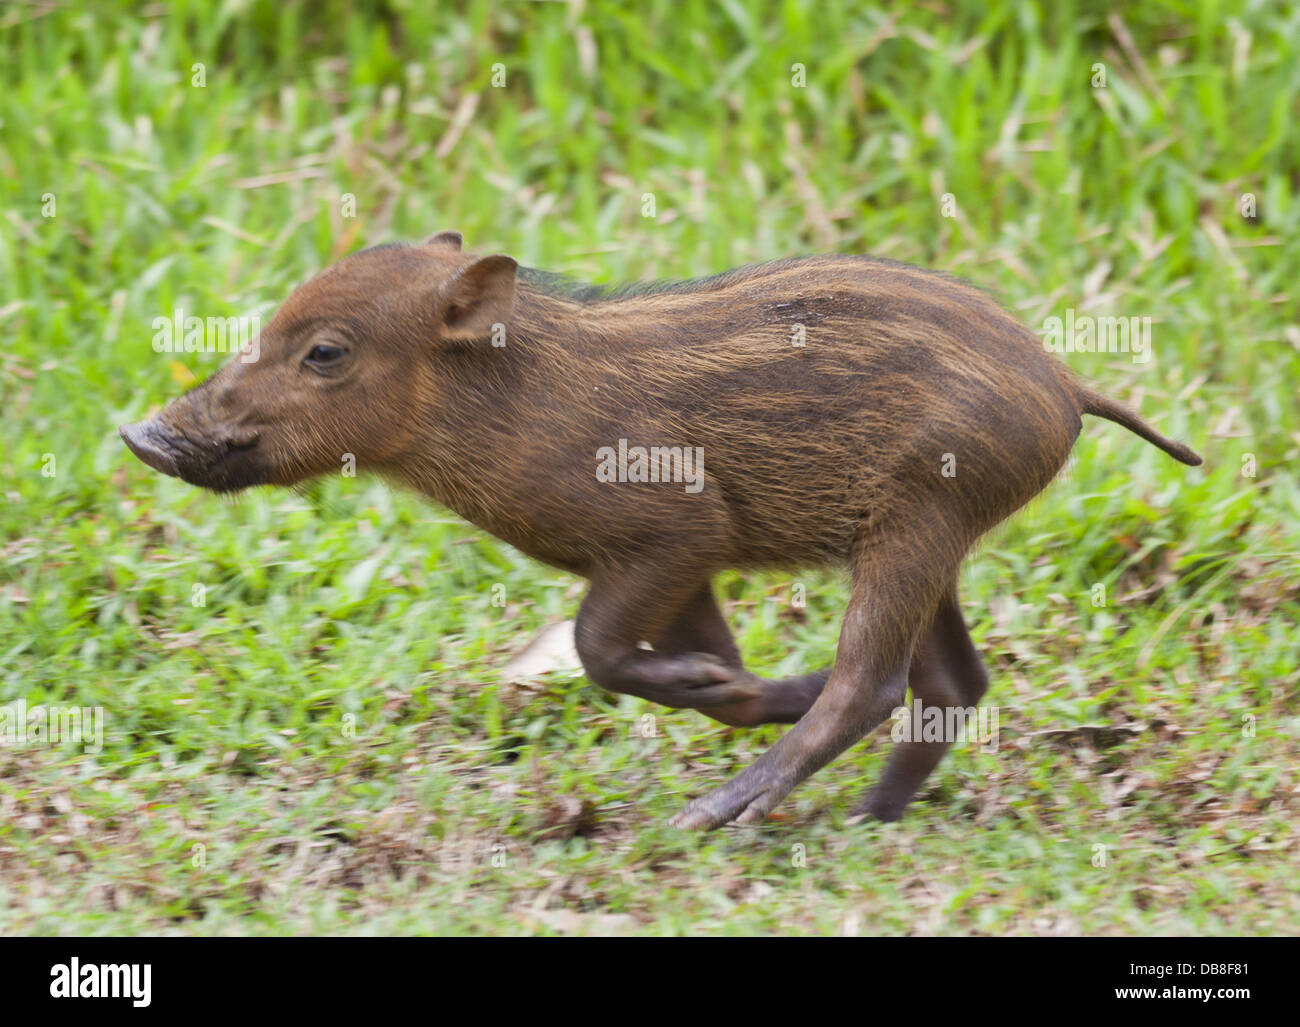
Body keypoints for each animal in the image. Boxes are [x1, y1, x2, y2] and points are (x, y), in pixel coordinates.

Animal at [120, 232, 1202, 829]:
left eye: (325, 351)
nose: (144, 436)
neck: (506, 407)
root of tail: (1065, 381)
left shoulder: (674, 530)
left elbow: (601, 650)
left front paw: (716, 694)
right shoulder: (686, 561)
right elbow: (708, 669)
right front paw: (730, 683)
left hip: (918, 520)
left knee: (872, 682)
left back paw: (721, 813)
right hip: (925, 534)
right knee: (949, 683)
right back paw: (866, 817)